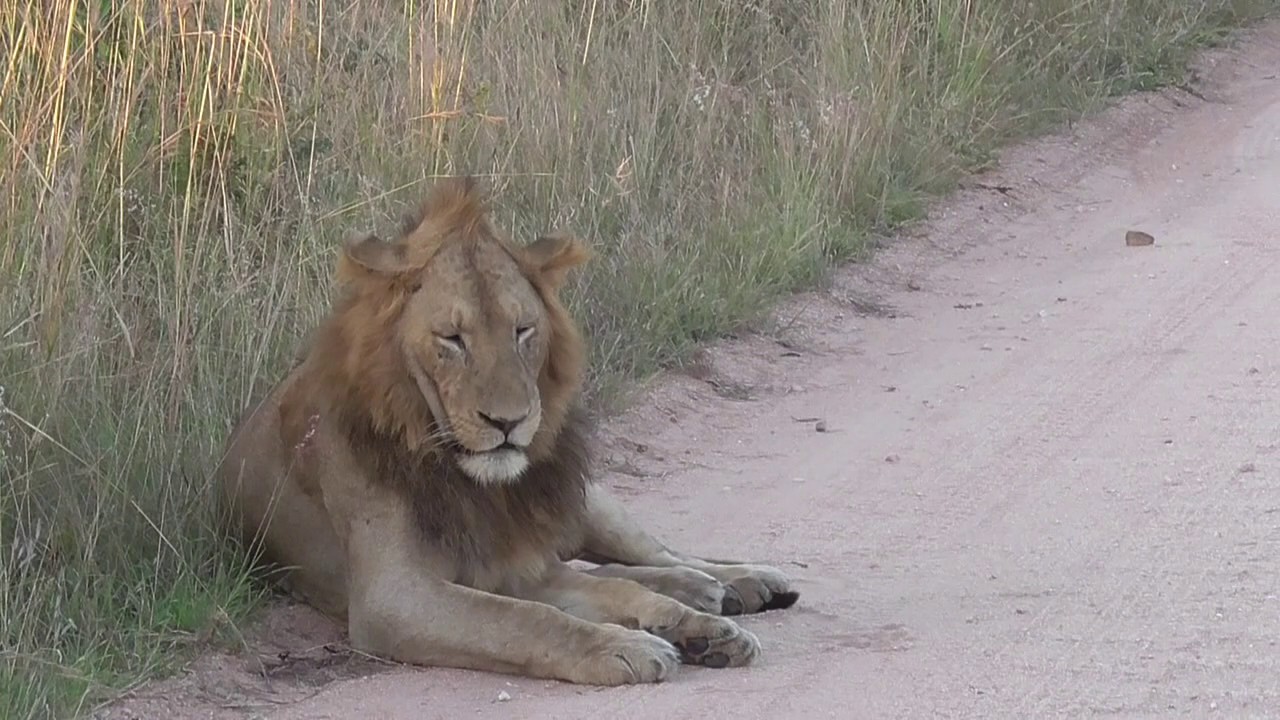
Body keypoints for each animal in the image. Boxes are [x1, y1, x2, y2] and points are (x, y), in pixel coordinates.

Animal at [216, 177, 800, 686]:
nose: (509, 421)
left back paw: (737, 584)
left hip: (584, 503)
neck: (468, 480)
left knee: (656, 555)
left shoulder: (517, 568)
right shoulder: (396, 596)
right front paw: (626, 646)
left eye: (523, 330)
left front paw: (693, 627)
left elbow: (602, 593)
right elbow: (529, 619)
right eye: (452, 339)